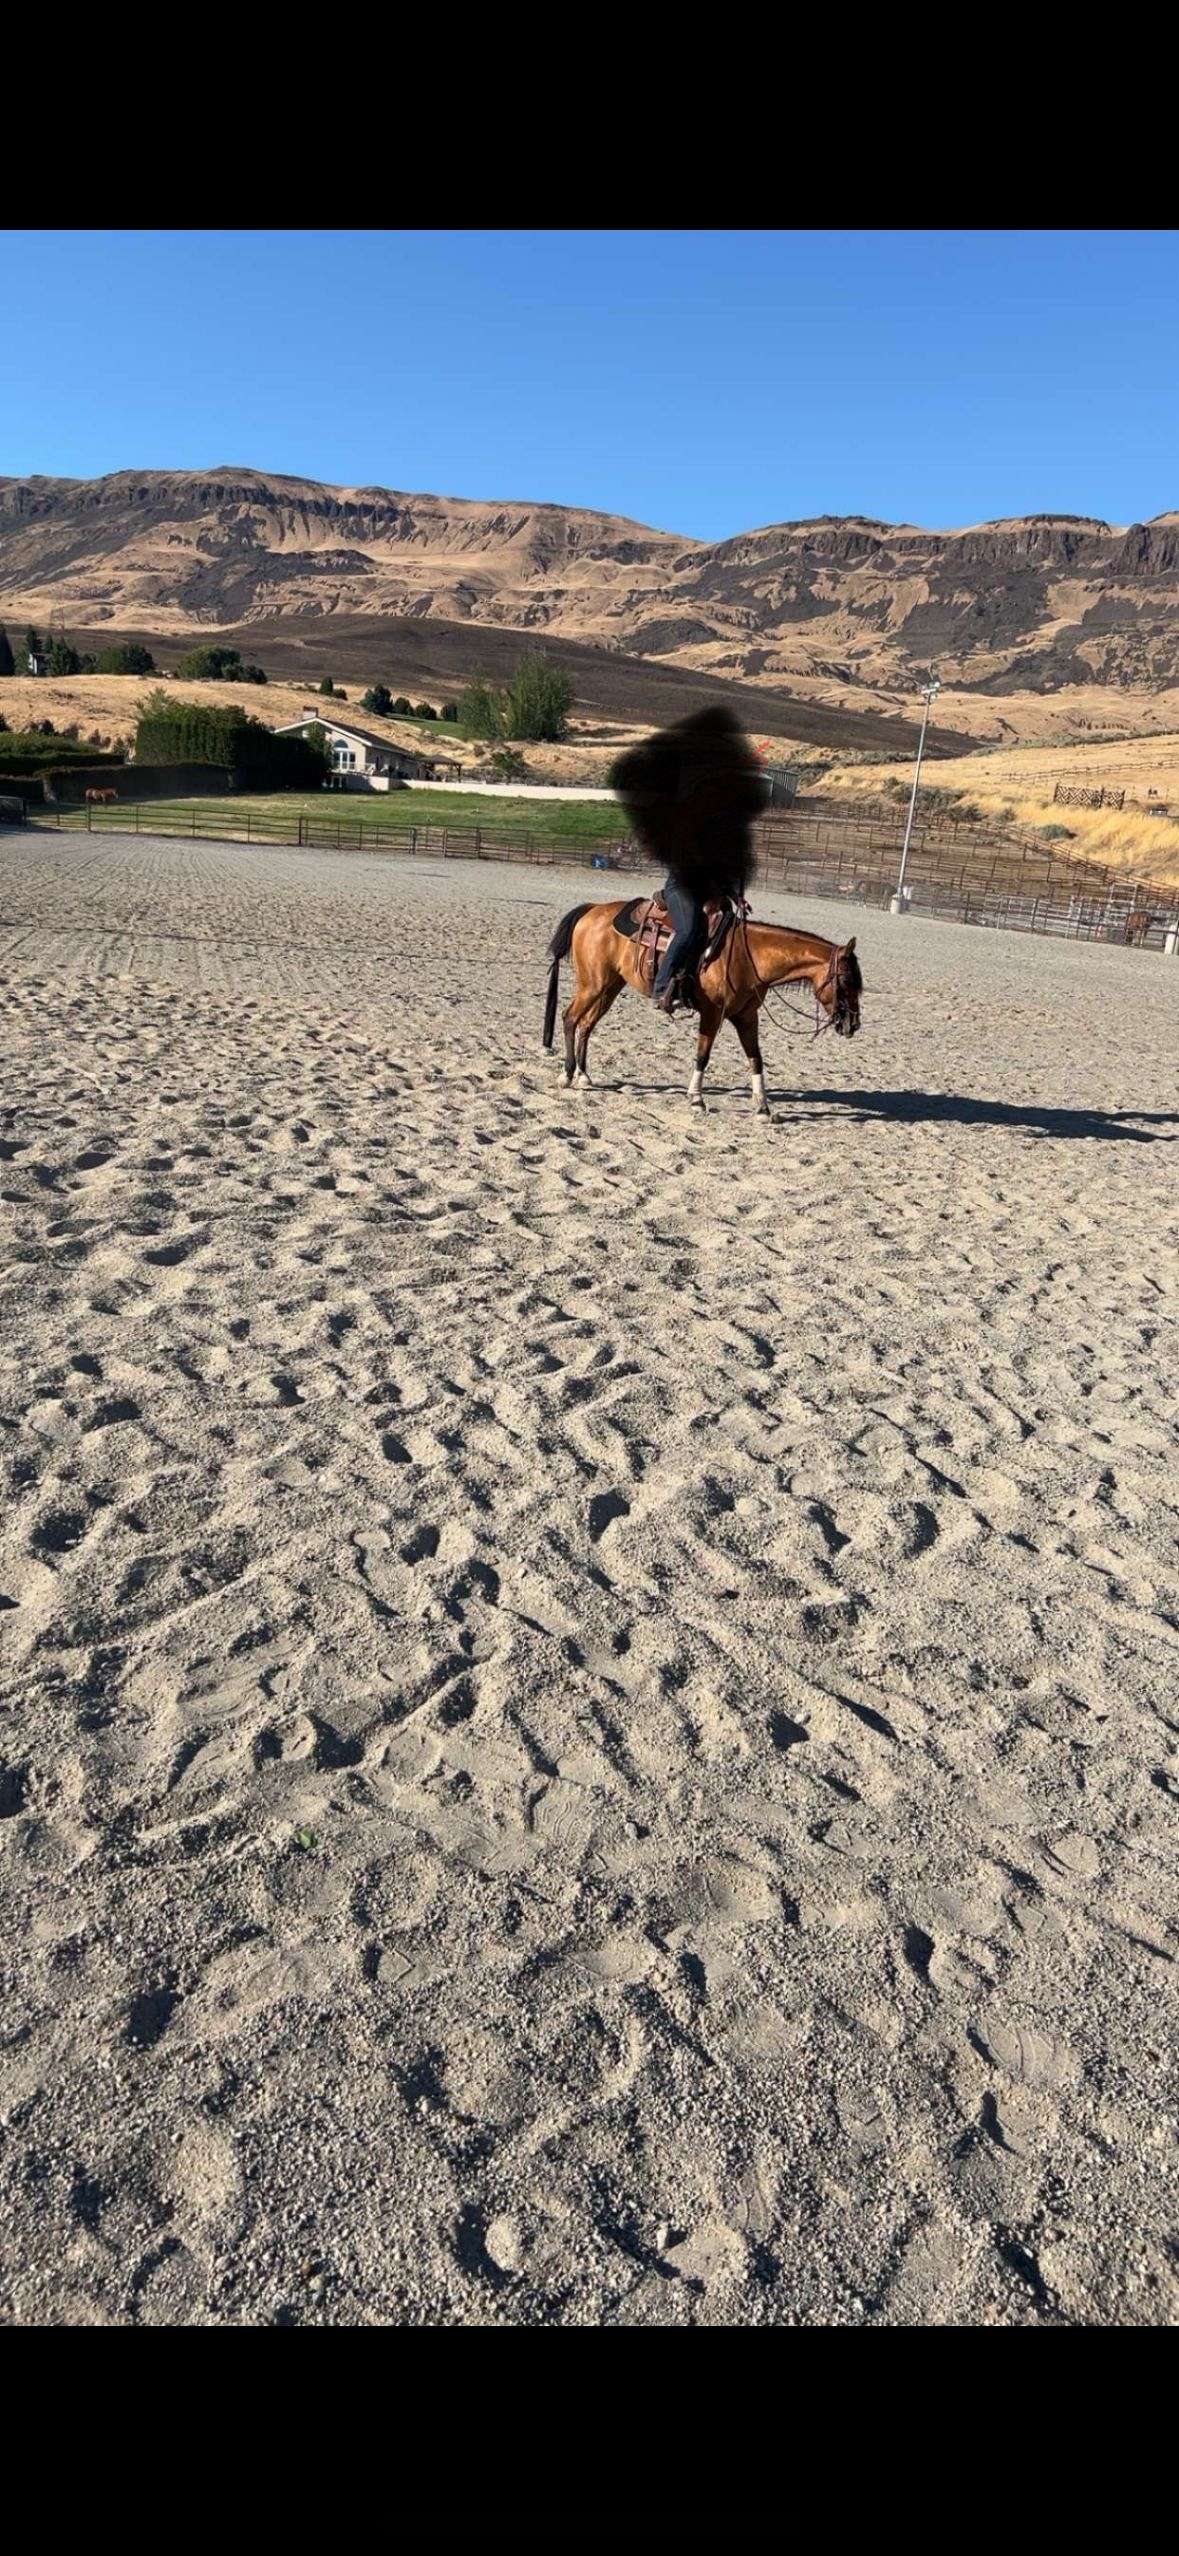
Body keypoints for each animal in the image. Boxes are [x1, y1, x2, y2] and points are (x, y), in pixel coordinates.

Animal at [542, 896, 862, 1116]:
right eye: (846, 980)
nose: (853, 1025)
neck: (747, 957)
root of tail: (593, 909)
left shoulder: (747, 1017)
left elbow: (756, 1059)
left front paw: (763, 1107)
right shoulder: (712, 1013)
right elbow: (702, 1055)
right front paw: (696, 1099)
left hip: (609, 987)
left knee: (586, 1025)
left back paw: (583, 1076)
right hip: (592, 985)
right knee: (570, 1018)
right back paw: (567, 1074)